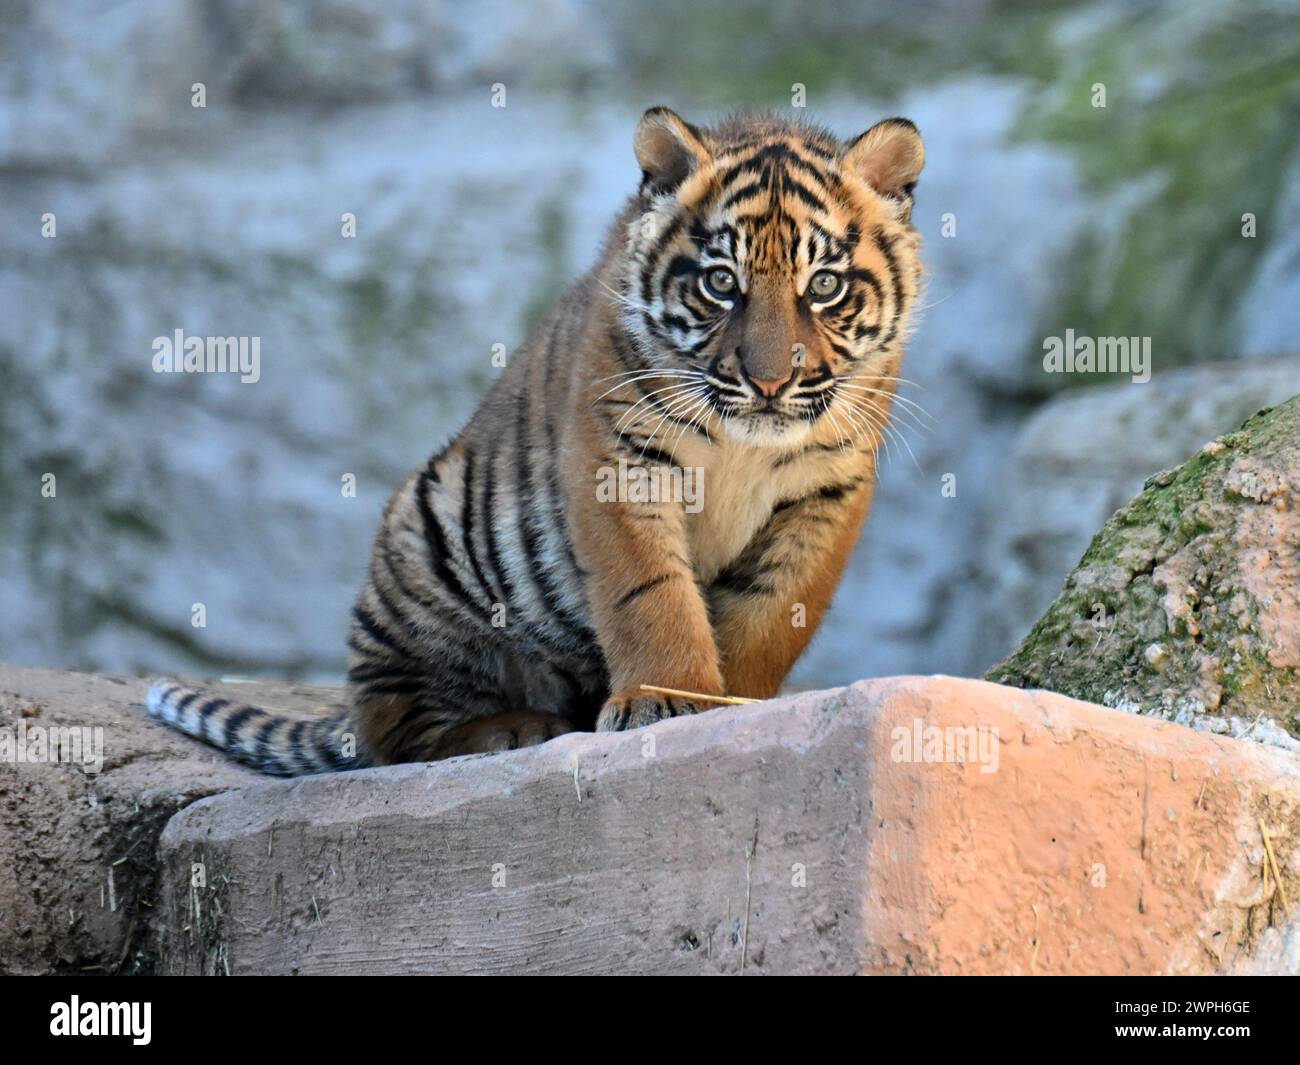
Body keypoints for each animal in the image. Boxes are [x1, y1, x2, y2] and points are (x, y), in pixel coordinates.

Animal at [146, 108, 926, 775]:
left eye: (823, 286)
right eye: (720, 282)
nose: (768, 382)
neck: (745, 443)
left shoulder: (828, 489)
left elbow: (776, 611)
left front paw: (739, 703)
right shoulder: (619, 461)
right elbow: (650, 593)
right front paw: (670, 696)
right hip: (425, 535)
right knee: (396, 735)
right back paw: (516, 729)